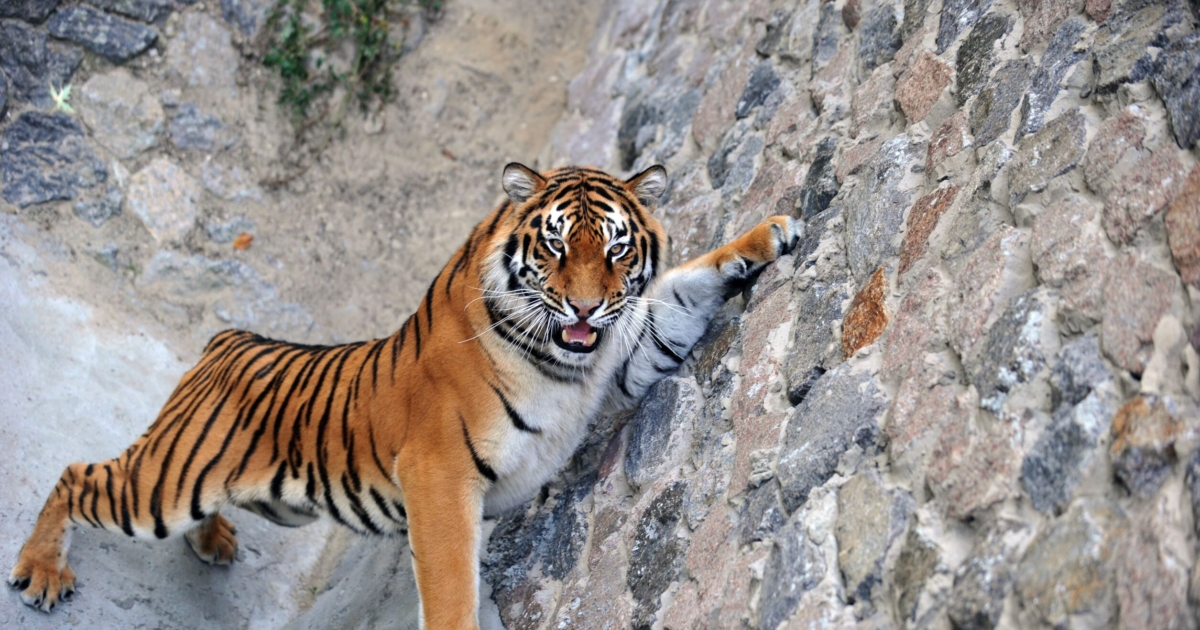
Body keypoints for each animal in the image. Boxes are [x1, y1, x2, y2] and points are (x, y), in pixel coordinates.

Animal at [9, 163, 800, 628]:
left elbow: (684, 289)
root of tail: (229, 335)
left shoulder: (623, 363)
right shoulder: (439, 475)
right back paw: (41, 572)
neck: (569, 360)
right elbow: (450, 590)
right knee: (78, 475)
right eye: (552, 246)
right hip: (163, 484)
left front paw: (771, 233)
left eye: (615, 248)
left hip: (274, 500)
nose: (582, 307)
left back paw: (214, 541)